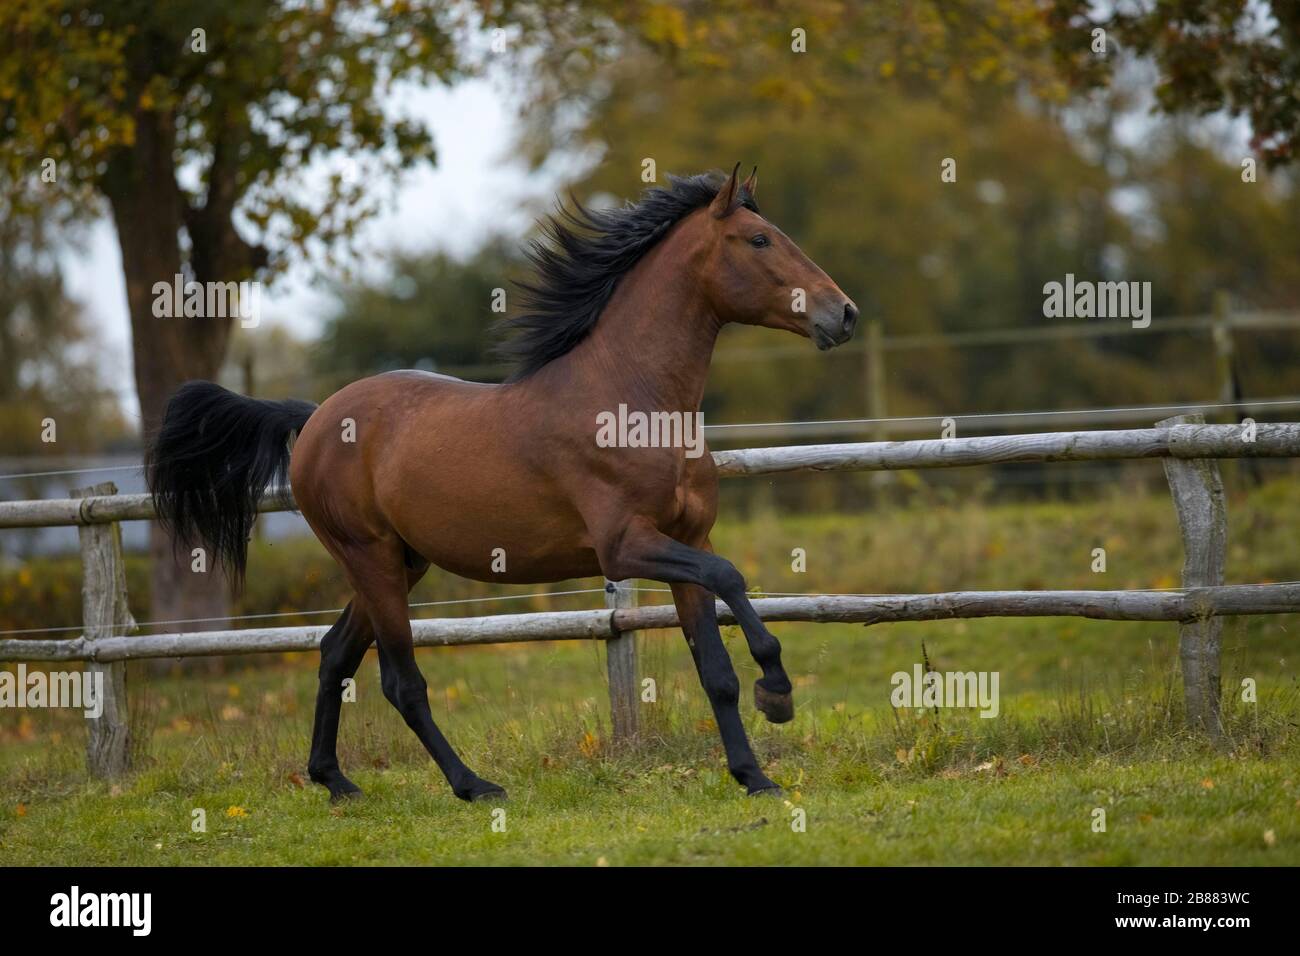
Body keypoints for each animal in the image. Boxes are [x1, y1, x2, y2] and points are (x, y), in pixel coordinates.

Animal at [147, 164, 858, 802]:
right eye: (759, 240)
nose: (844, 314)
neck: (632, 400)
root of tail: (316, 417)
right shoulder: (625, 546)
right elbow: (733, 578)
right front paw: (778, 691)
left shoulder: (688, 540)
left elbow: (716, 670)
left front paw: (755, 777)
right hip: (369, 558)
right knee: (401, 683)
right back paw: (474, 786)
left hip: (398, 564)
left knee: (332, 655)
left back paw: (336, 782)